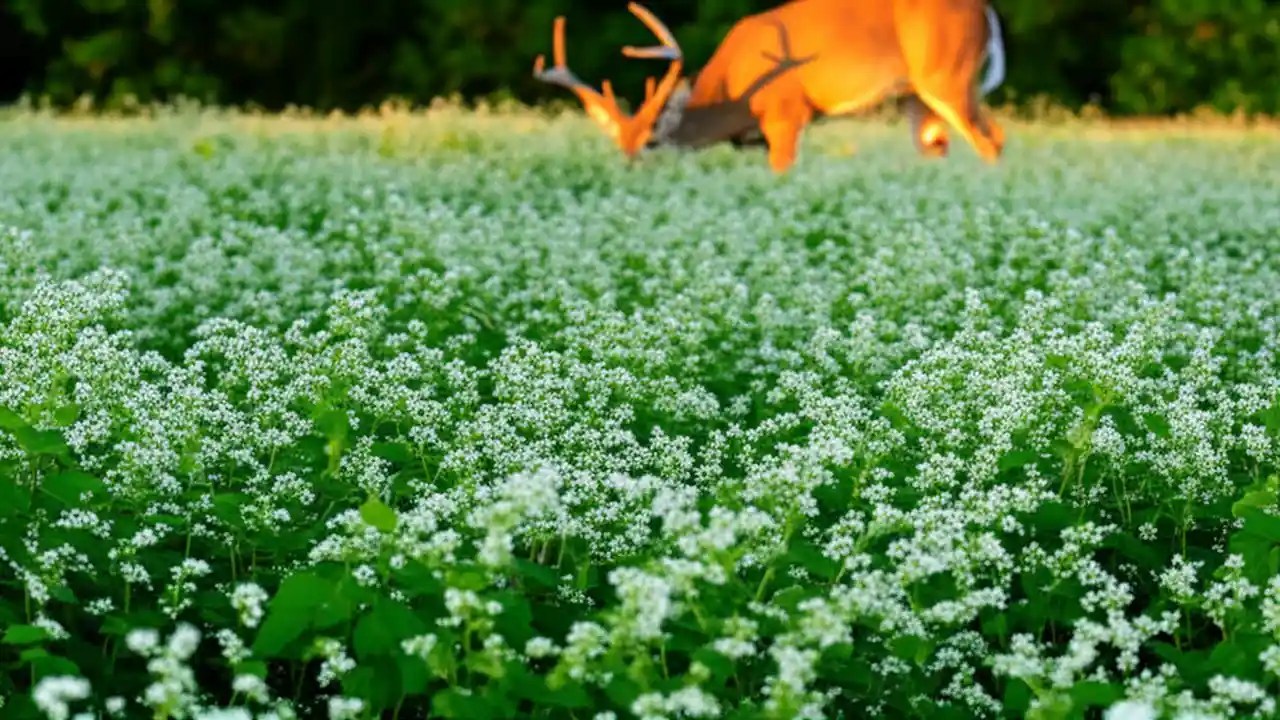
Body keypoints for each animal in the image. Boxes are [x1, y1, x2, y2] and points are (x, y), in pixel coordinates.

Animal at [533, 0, 1007, 173]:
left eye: (650, 145)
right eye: (621, 148)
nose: (629, 175)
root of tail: (983, 10)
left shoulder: (786, 114)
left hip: (948, 77)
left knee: (993, 138)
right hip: (916, 97)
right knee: (937, 147)